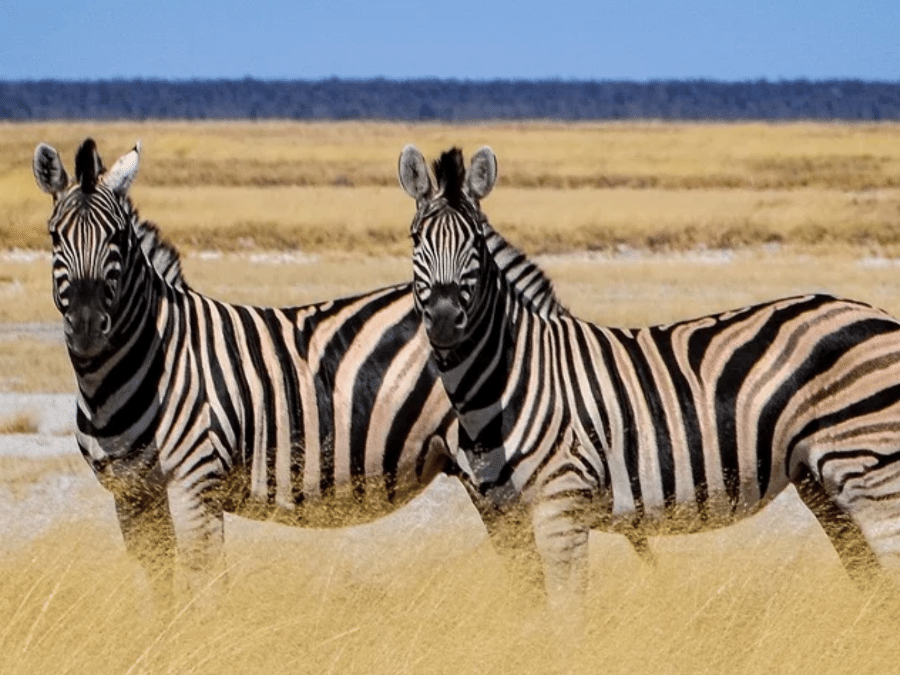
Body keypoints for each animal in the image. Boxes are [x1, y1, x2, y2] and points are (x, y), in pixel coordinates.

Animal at [399, 144, 900, 610]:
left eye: (476, 244)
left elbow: (565, 614)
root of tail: (880, 314)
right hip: (821, 482)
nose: (443, 320)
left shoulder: (561, 501)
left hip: (872, 470)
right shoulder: (504, 512)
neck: (508, 373)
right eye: (415, 238)